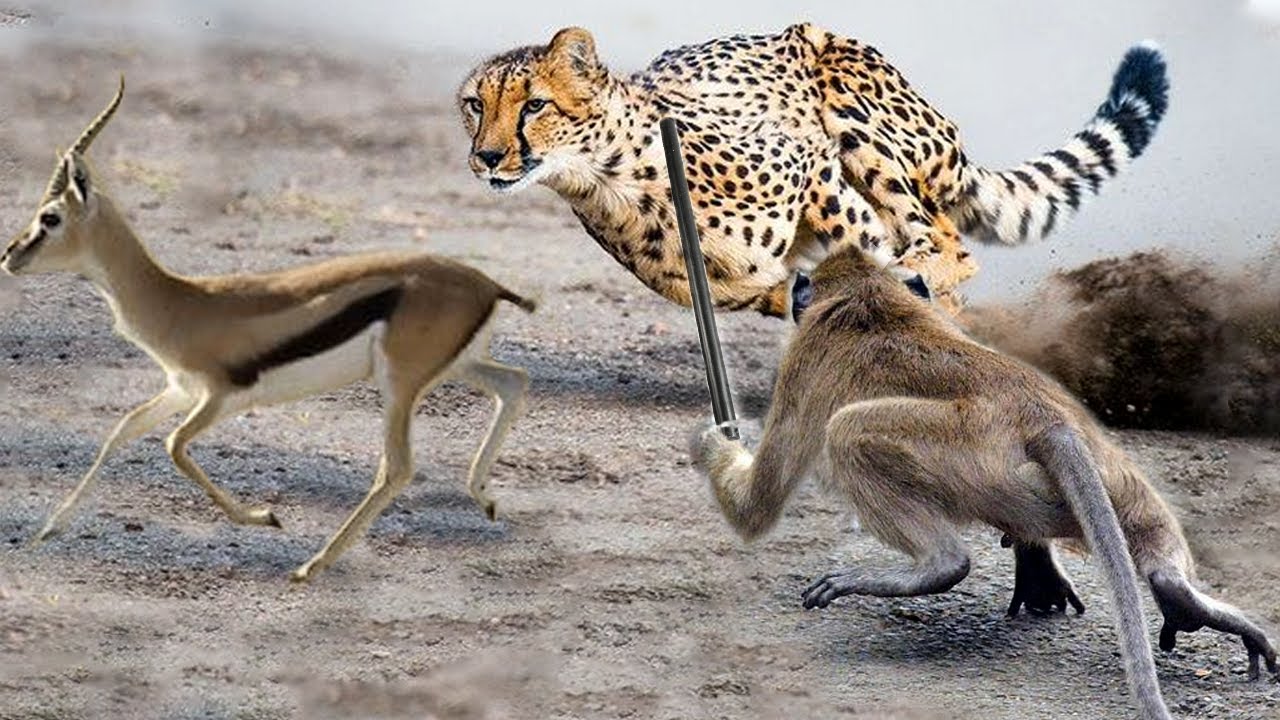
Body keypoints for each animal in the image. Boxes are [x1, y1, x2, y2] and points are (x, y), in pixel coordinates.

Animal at [2, 78, 536, 582]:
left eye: (50, 217)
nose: (9, 256)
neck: (179, 304)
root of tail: (487, 284)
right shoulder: (181, 389)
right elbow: (121, 430)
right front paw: (47, 529)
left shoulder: (217, 395)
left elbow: (174, 446)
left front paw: (268, 517)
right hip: (456, 367)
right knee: (514, 382)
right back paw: (485, 500)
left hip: (400, 385)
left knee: (397, 467)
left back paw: (311, 566)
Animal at [458, 24, 1168, 319]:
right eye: (474, 106)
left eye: (534, 104)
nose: (487, 156)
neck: (610, 176)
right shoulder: (758, 288)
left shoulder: (811, 164)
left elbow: (870, 243)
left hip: (849, 99)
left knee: (946, 241)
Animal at [689, 245, 1277, 720]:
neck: (868, 294)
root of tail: (1045, 420)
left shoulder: (801, 360)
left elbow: (758, 506)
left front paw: (716, 446)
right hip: (1103, 473)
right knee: (1148, 535)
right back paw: (1175, 592)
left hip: (963, 448)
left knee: (850, 432)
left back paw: (938, 564)